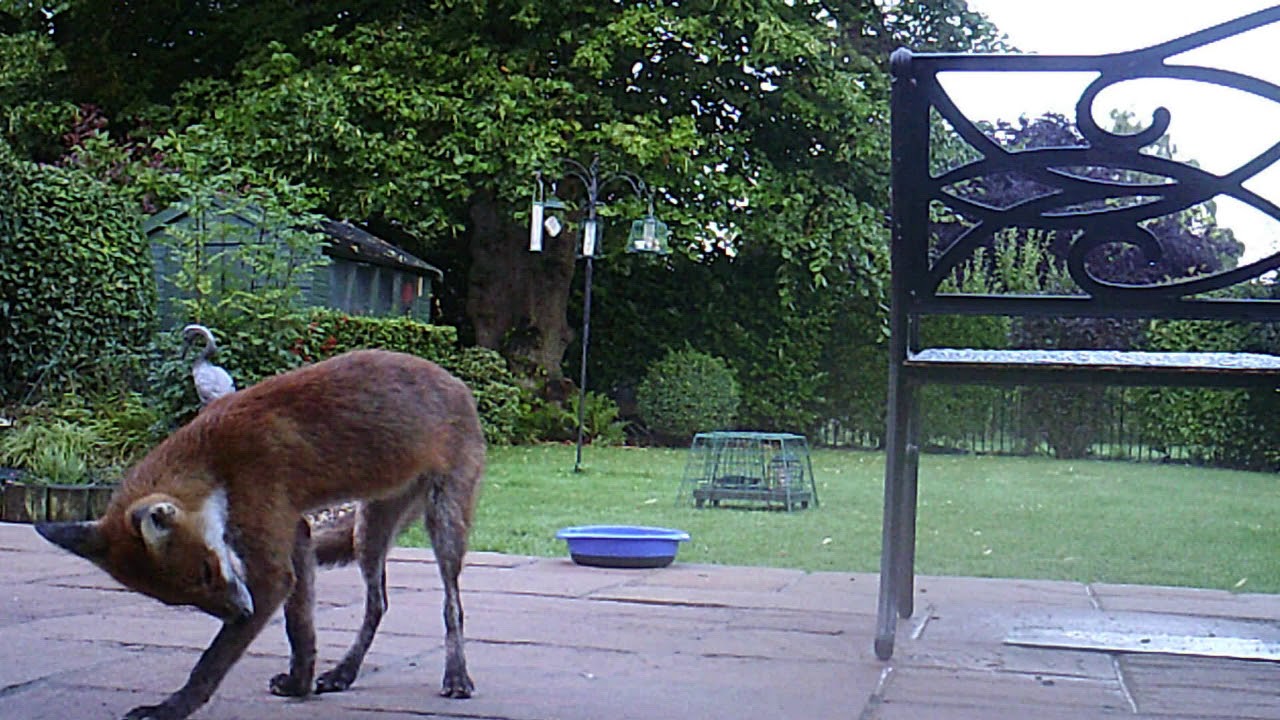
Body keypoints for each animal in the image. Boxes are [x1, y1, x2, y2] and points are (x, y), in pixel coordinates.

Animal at [34, 349, 484, 720]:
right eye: (179, 599)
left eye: (205, 572)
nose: (242, 616)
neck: (217, 459)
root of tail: (458, 382)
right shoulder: (295, 532)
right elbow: (300, 628)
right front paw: (301, 685)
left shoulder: (271, 567)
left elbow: (211, 662)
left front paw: (170, 709)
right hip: (369, 530)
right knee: (378, 605)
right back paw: (344, 672)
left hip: (444, 523)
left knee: (453, 607)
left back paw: (457, 676)